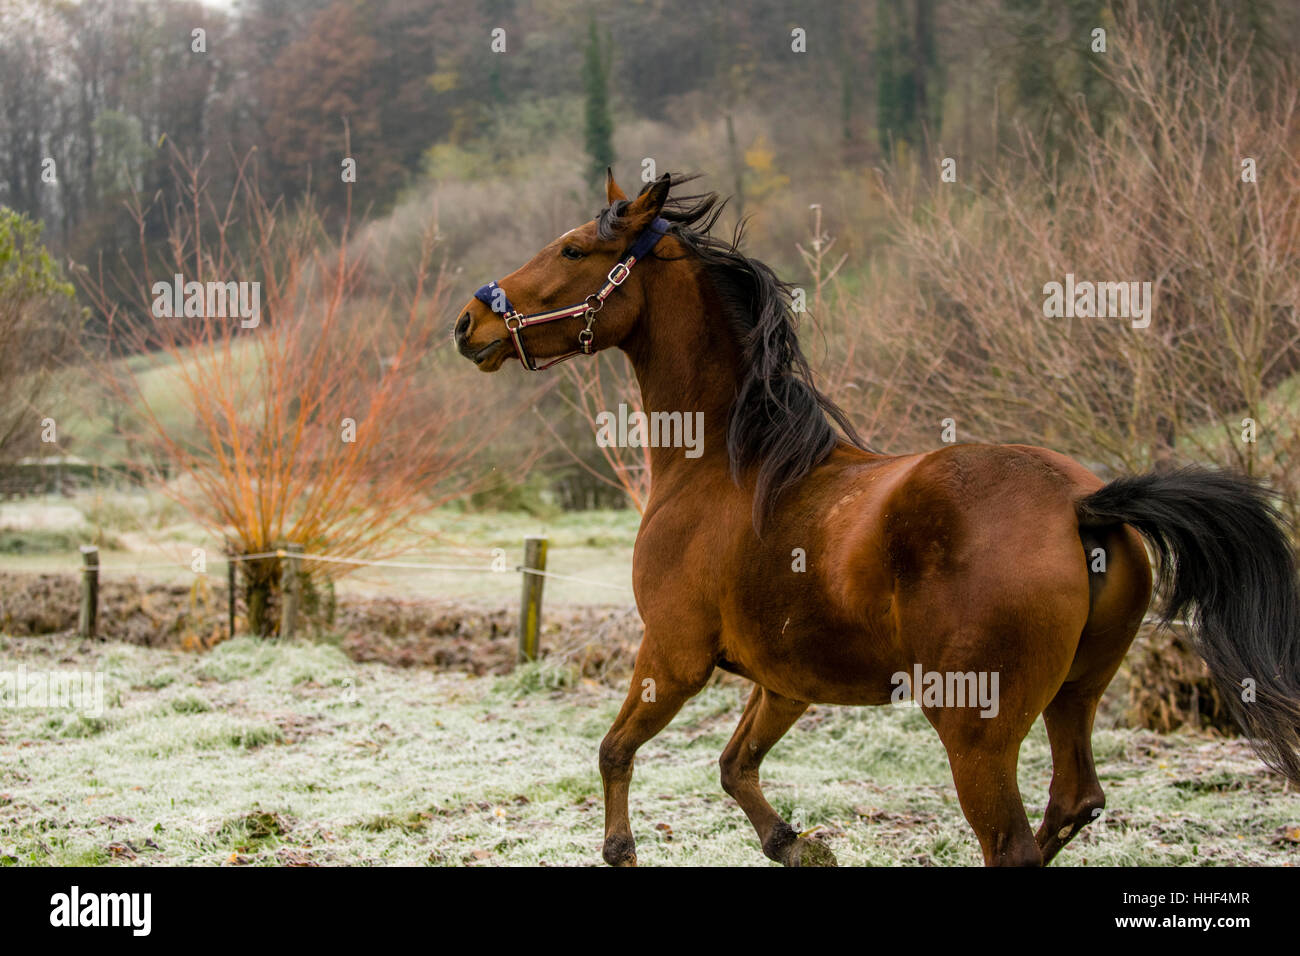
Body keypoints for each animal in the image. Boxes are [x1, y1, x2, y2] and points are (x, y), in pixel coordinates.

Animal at [453, 170, 1300, 866]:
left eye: (571, 248)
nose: (469, 323)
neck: (727, 465)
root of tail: (1080, 504)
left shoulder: (673, 655)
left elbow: (615, 753)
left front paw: (622, 849)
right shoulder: (784, 681)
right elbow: (735, 766)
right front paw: (798, 844)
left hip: (974, 728)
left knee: (1012, 842)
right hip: (1074, 696)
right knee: (1074, 802)